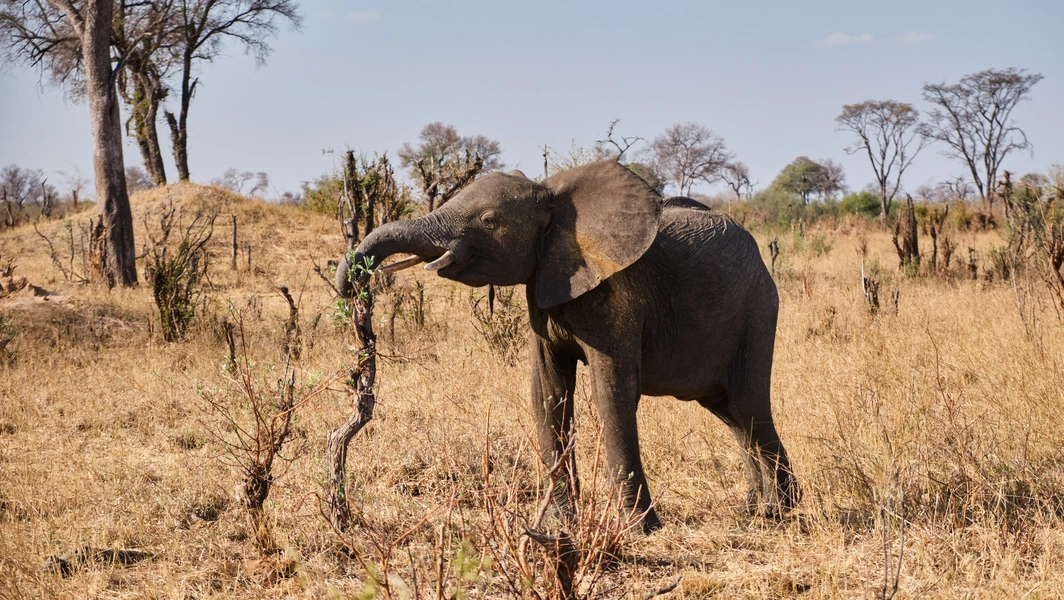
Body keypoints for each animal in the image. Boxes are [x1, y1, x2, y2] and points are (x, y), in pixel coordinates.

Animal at [336, 160, 799, 531]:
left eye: (489, 220)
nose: (352, 287)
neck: (553, 199)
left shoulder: (618, 293)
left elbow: (611, 395)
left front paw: (641, 531)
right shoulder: (542, 289)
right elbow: (548, 393)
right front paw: (560, 526)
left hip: (758, 308)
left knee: (749, 407)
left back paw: (782, 514)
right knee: (731, 414)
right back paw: (758, 511)